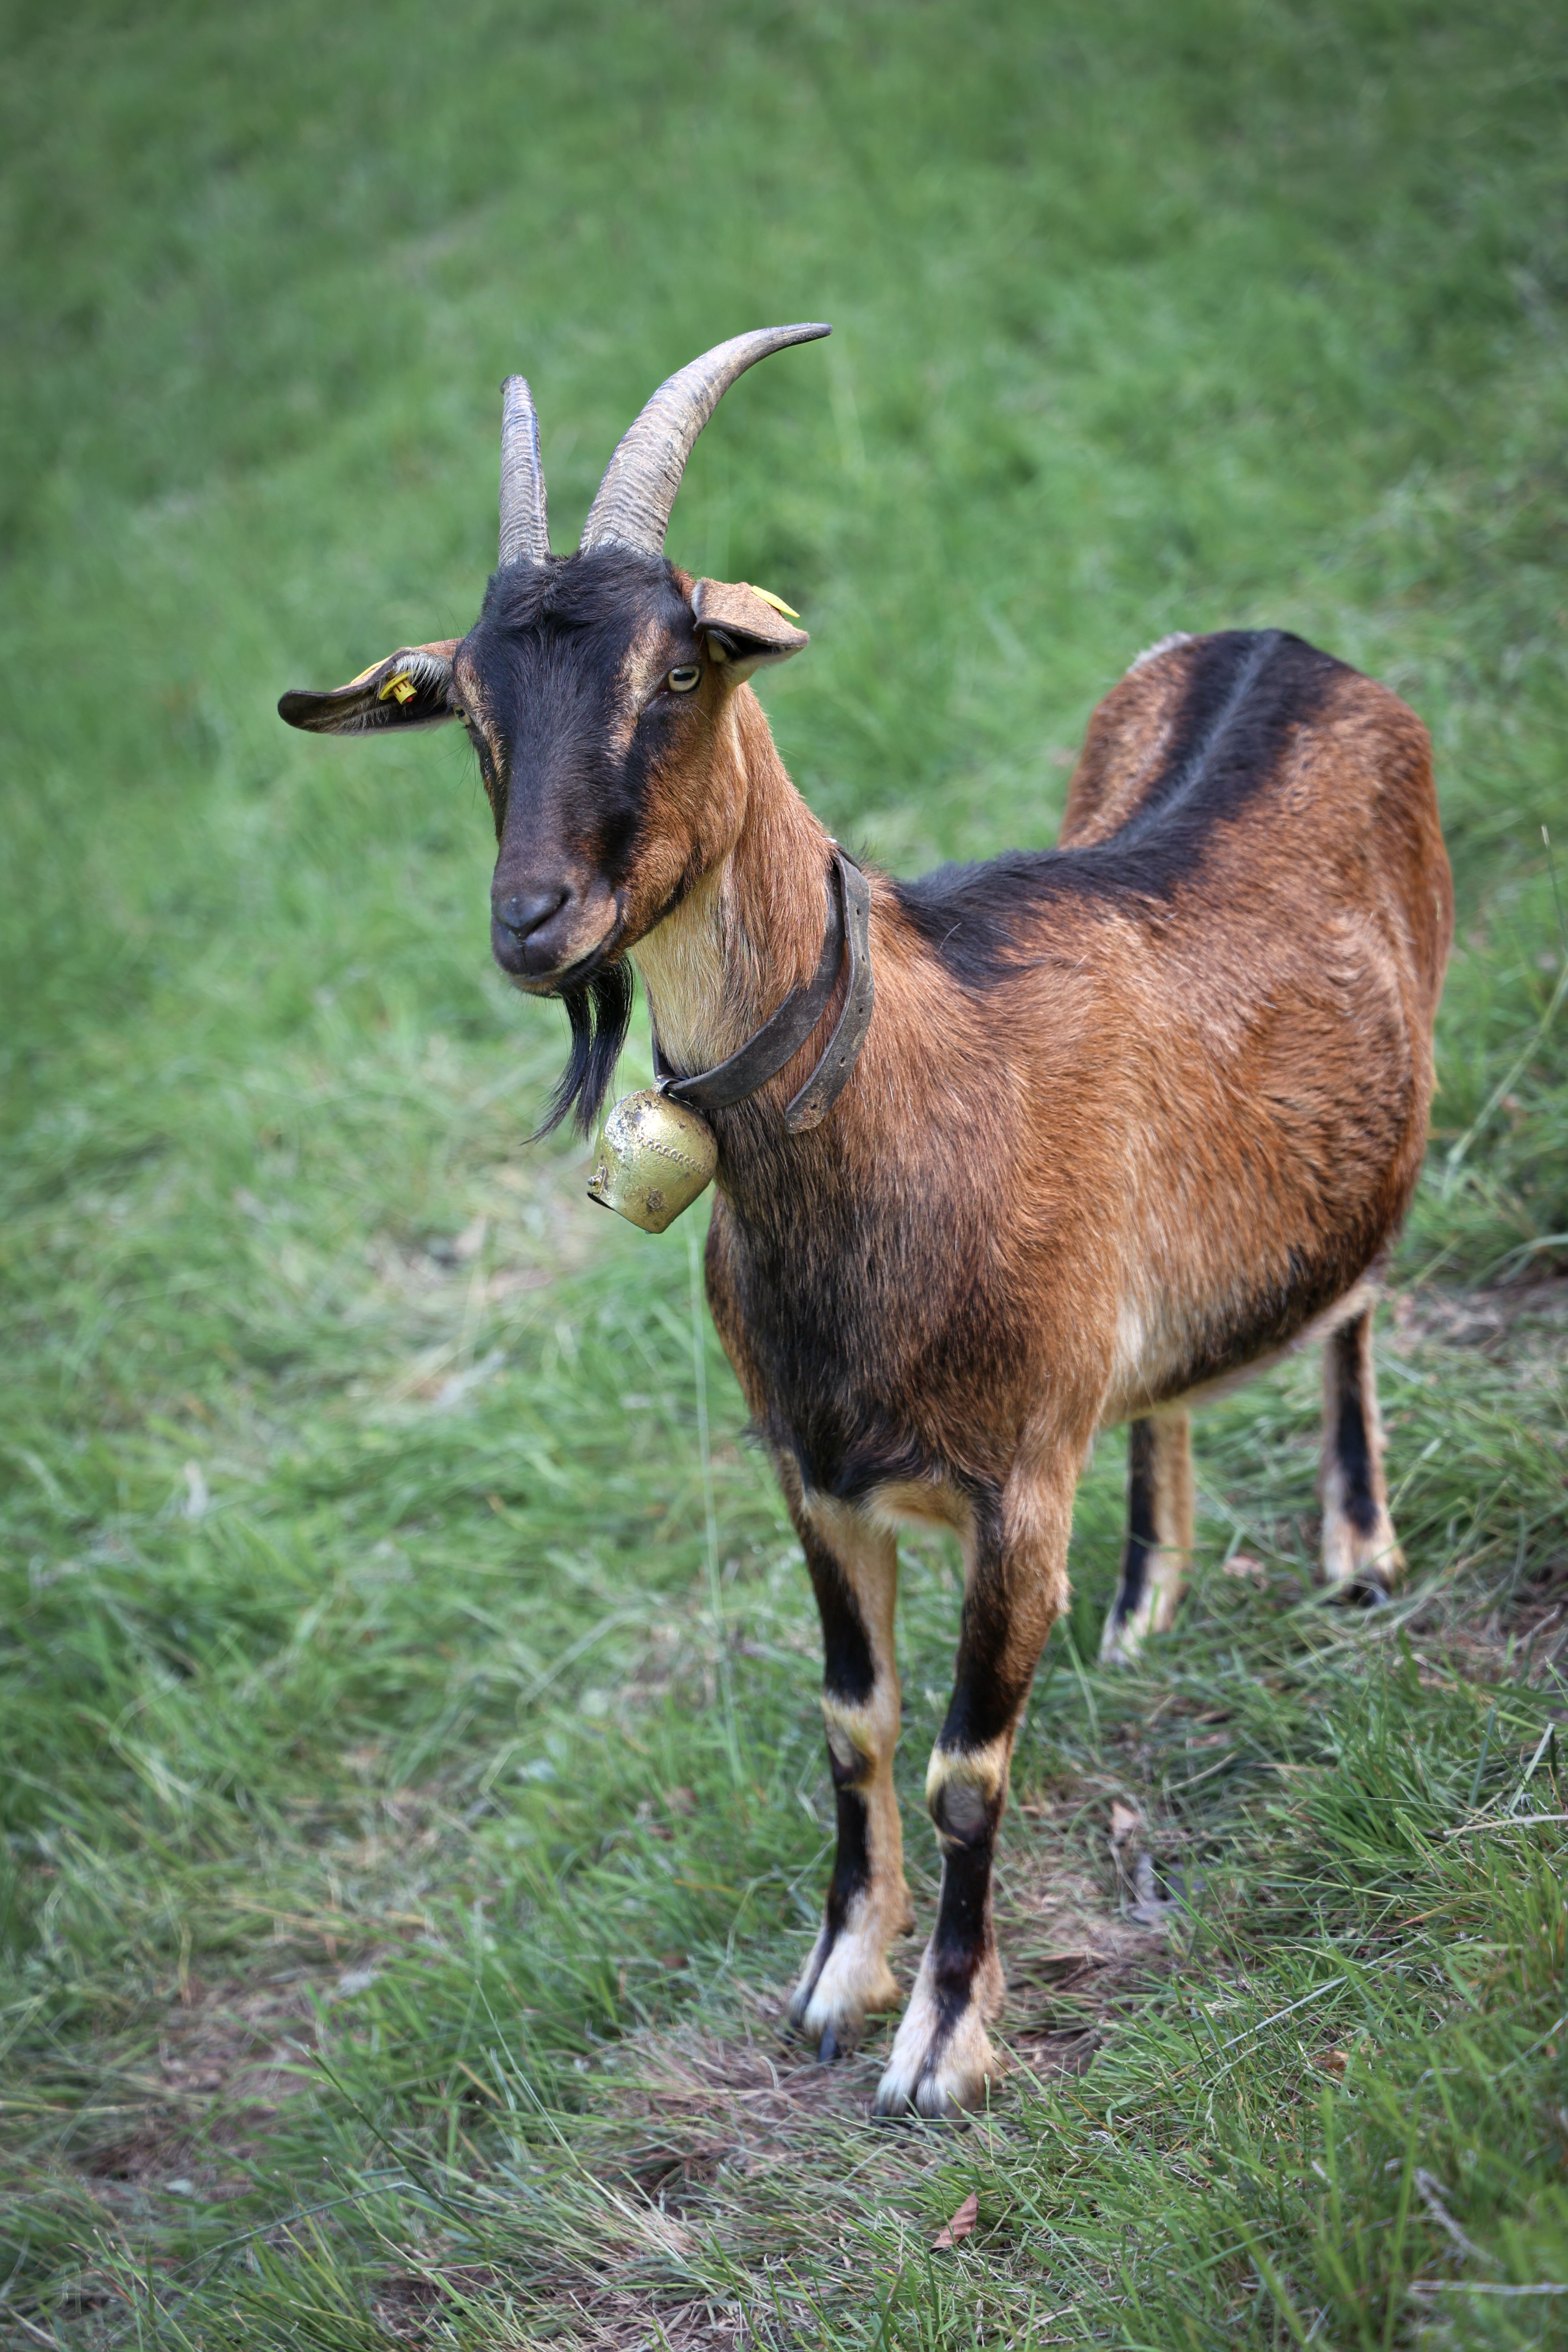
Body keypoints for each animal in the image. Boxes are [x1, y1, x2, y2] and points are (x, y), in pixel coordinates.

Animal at [280, 326, 1453, 2117]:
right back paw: (1145, 1602)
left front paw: (941, 2042)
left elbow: (968, 1759)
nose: (532, 920)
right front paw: (837, 1981)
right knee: (1176, 1381)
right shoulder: (813, 1473)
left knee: (1355, 1299)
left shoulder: (1010, 1485)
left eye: (677, 670)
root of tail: (1281, 645)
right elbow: (853, 1723)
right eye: (465, 703)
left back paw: (1360, 1549)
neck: (894, 1087)